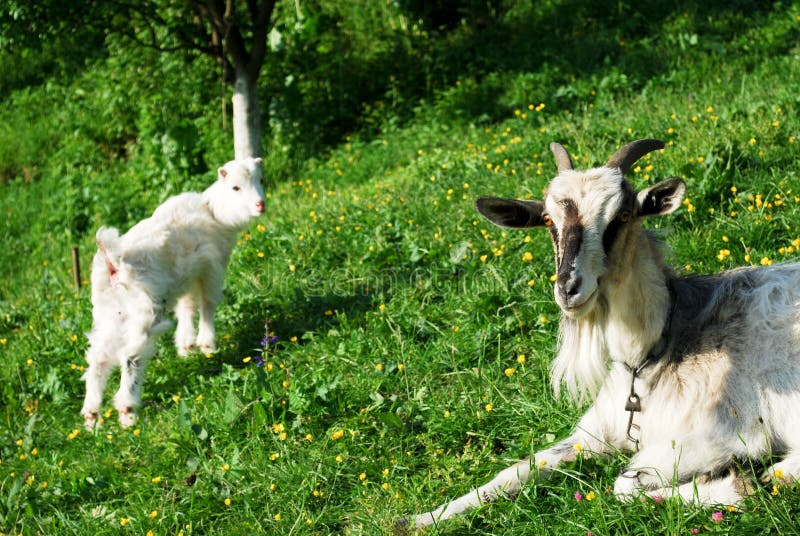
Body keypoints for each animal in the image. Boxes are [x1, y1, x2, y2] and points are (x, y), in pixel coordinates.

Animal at [81, 157, 266, 429]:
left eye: (260, 179)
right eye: (235, 187)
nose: (260, 205)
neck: (212, 212)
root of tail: (113, 260)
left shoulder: (188, 276)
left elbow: (186, 306)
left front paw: (186, 347)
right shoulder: (211, 268)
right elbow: (208, 303)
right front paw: (207, 345)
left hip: (110, 313)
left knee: (98, 358)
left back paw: (91, 416)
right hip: (144, 310)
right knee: (130, 355)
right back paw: (127, 410)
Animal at [404, 139, 800, 528]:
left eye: (622, 216)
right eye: (548, 219)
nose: (568, 288)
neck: (652, 355)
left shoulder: (726, 435)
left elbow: (623, 483)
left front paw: (736, 486)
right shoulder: (595, 434)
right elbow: (518, 468)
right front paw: (422, 518)